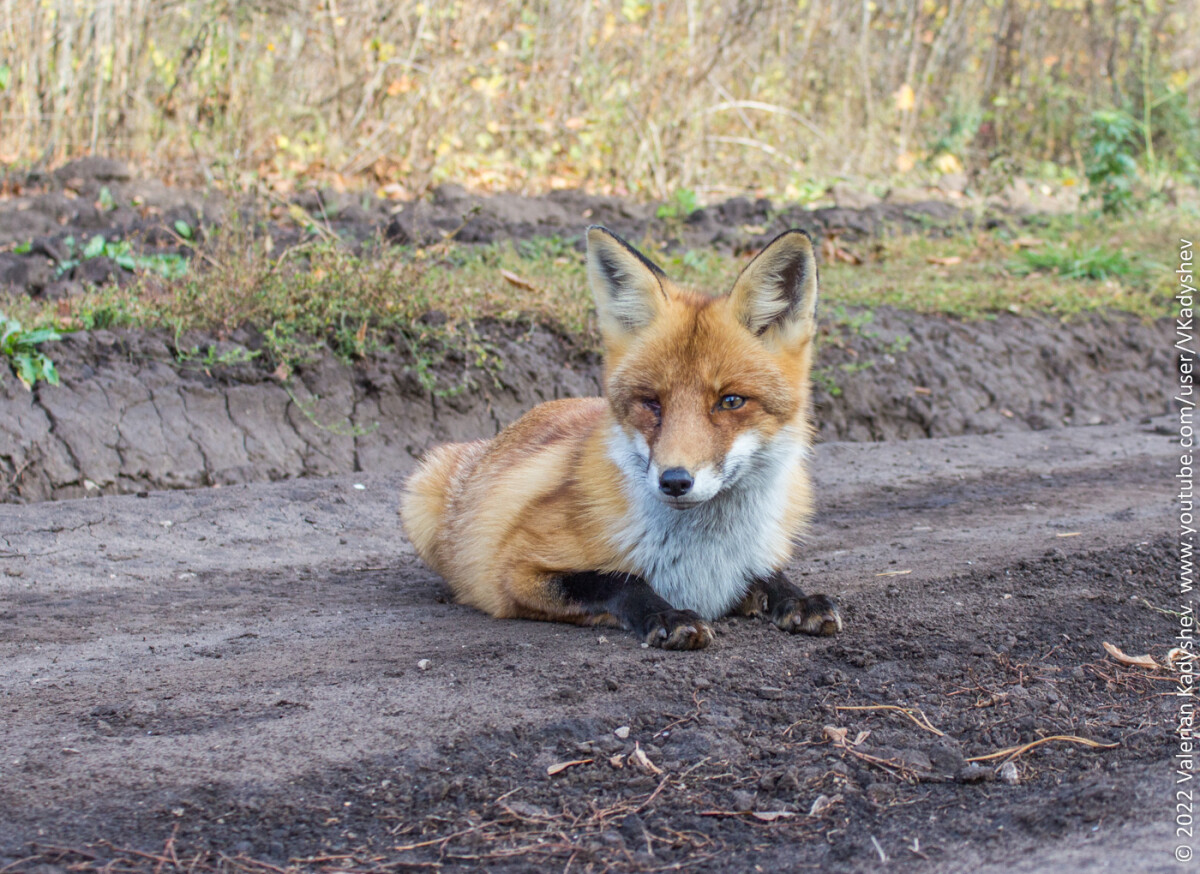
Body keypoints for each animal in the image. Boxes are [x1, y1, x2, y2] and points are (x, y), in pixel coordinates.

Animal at [400, 226, 842, 650]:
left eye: (730, 401)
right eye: (651, 402)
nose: (675, 481)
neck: (703, 558)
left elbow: (770, 574)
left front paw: (797, 598)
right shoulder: (510, 570)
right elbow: (618, 580)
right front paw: (666, 615)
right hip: (420, 495)